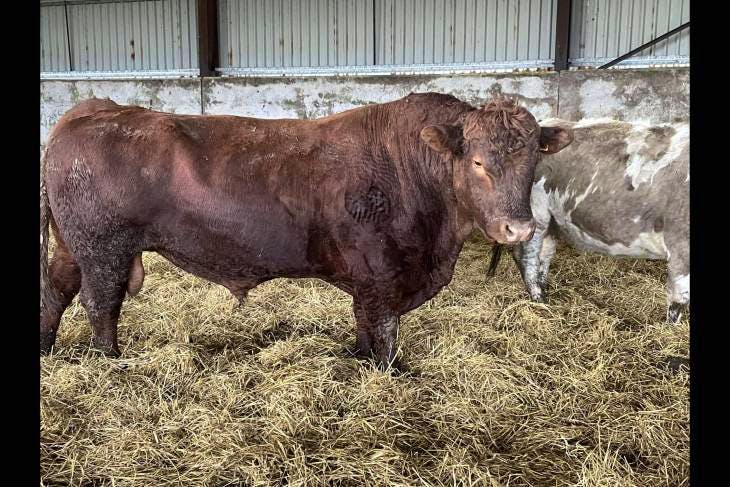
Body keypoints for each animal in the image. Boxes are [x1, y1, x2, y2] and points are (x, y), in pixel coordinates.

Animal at [40, 94, 573, 367]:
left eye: (533, 160)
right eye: (478, 162)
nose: (517, 228)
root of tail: (91, 110)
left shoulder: (368, 278)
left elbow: (363, 321)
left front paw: (359, 359)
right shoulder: (382, 270)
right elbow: (385, 328)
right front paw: (387, 372)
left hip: (72, 246)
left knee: (55, 291)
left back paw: (46, 350)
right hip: (103, 248)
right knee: (100, 303)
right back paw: (110, 361)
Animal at [486, 118, 689, 323]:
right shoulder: (680, 248)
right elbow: (677, 301)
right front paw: (669, 327)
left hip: (550, 221)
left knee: (544, 255)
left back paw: (546, 297)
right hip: (536, 215)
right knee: (528, 258)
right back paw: (539, 300)